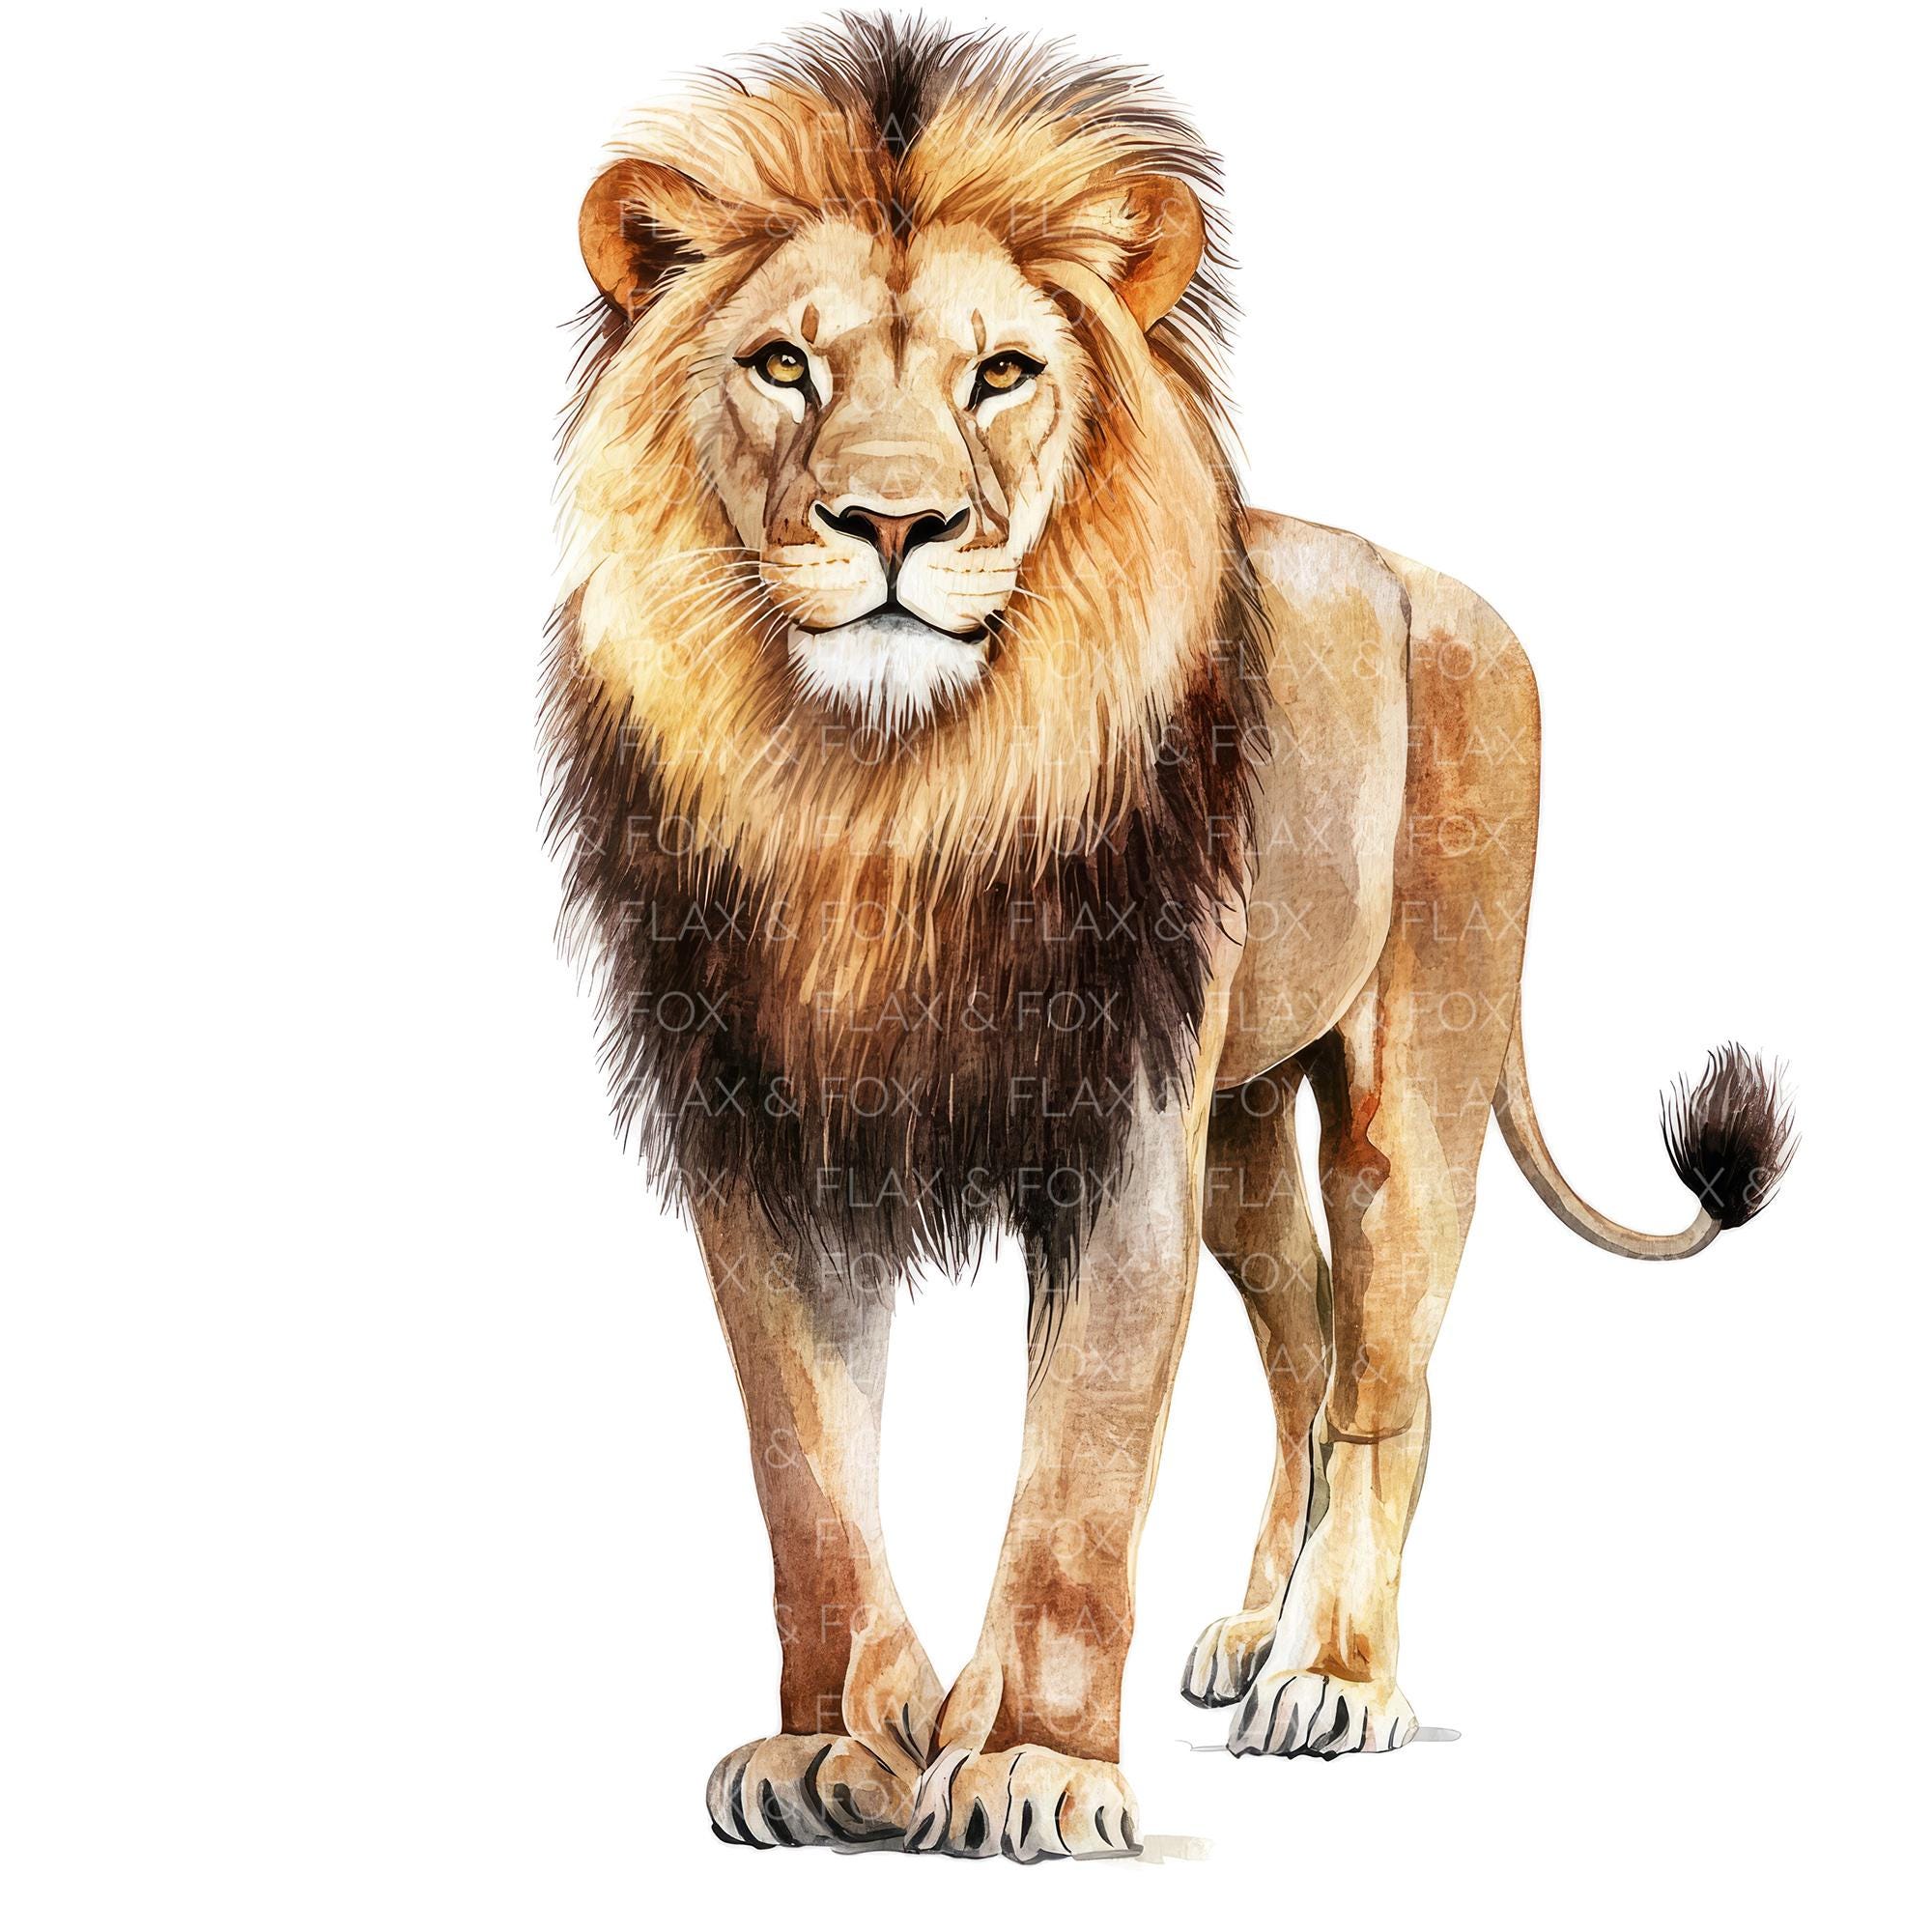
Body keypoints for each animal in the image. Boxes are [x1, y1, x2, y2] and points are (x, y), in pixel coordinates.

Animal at [545, 14, 1793, 1864]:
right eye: (782, 367)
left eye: (1002, 375)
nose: (895, 528)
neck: (884, 796)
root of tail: (1428, 576)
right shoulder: (766, 1135)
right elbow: (807, 1471)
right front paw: (839, 1740)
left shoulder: (1120, 1137)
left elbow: (1079, 1473)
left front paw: (1031, 1763)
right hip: (1241, 1134)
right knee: (1305, 1348)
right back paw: (1251, 1630)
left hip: (1405, 1088)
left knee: (1388, 1378)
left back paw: (1334, 1675)